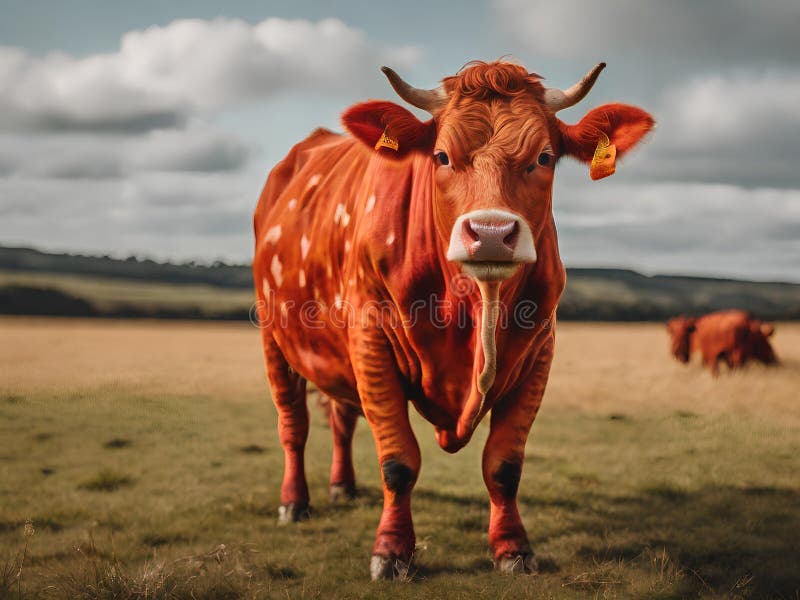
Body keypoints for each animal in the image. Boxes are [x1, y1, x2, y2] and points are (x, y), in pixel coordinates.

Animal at [253, 60, 654, 580]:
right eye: (441, 156)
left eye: (544, 157)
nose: (491, 233)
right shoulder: (370, 340)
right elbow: (398, 461)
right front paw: (392, 551)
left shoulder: (540, 350)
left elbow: (504, 464)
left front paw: (512, 548)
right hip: (274, 337)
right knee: (294, 425)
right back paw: (294, 503)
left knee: (341, 418)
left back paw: (342, 487)